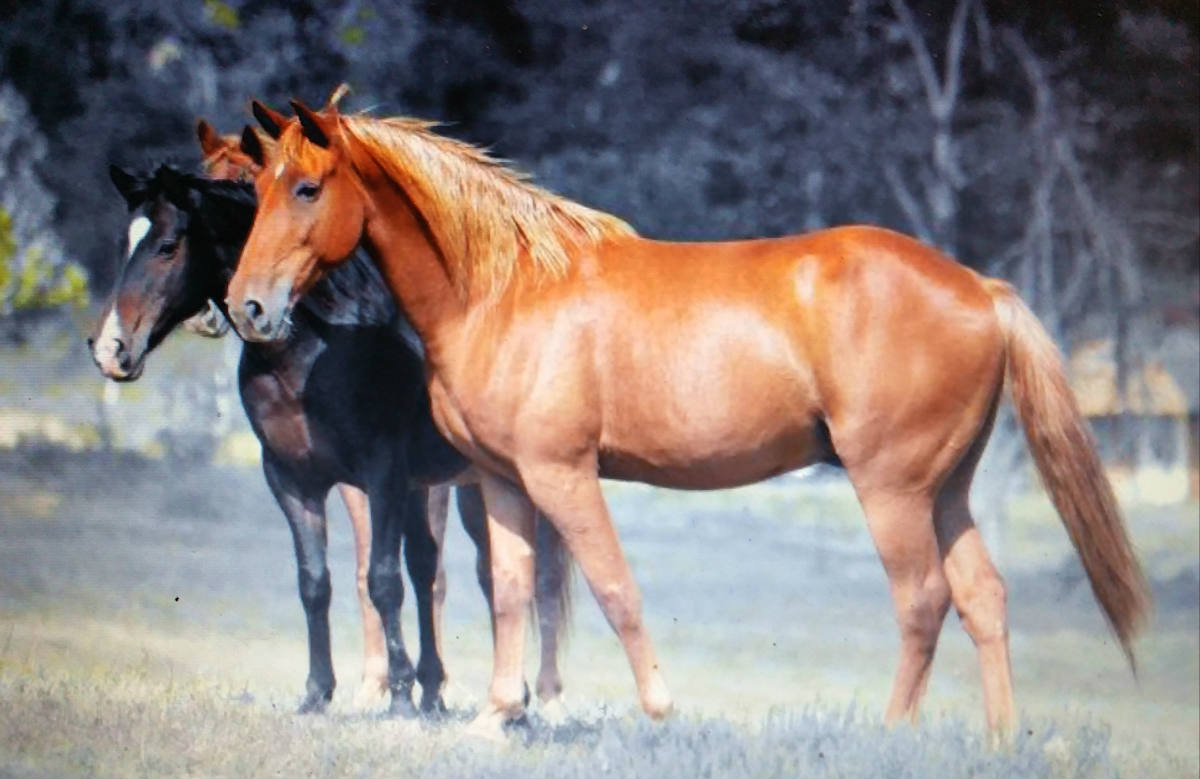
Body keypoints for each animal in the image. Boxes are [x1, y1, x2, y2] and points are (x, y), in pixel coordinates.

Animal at [89, 149, 571, 716]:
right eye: (125, 244)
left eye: (167, 246)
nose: (111, 348)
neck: (316, 351)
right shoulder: (293, 480)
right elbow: (316, 582)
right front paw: (319, 692)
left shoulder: (383, 475)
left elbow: (383, 579)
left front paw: (399, 695)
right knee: (442, 568)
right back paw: (442, 689)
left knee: (523, 578)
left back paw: (533, 696)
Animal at [224, 96, 1150, 738]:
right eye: (257, 191)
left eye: (306, 187)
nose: (249, 307)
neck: (506, 289)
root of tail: (981, 290)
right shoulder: (502, 479)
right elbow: (513, 591)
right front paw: (497, 715)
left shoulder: (563, 473)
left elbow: (613, 586)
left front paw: (657, 705)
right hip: (946, 487)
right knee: (982, 596)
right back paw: (998, 737)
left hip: (892, 488)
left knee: (922, 599)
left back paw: (895, 731)